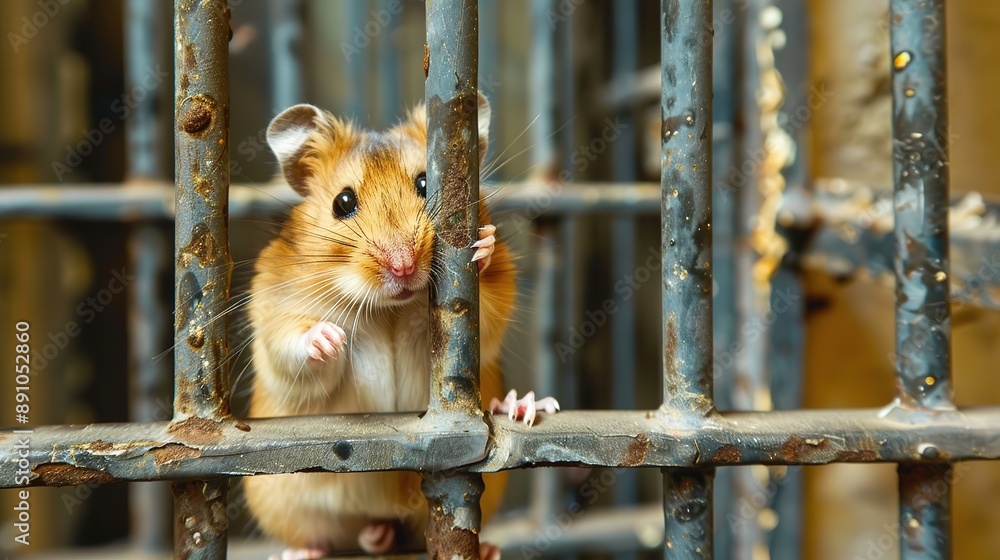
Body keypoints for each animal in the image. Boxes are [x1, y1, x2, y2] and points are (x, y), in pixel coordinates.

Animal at [244, 93, 558, 560]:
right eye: (342, 202)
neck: (389, 311)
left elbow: (486, 308)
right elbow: (291, 349)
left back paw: (519, 409)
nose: (403, 267)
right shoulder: (274, 313)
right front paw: (329, 338)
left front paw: (482, 245)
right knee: (318, 538)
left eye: (426, 184)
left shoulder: (488, 311)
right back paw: (306, 552)